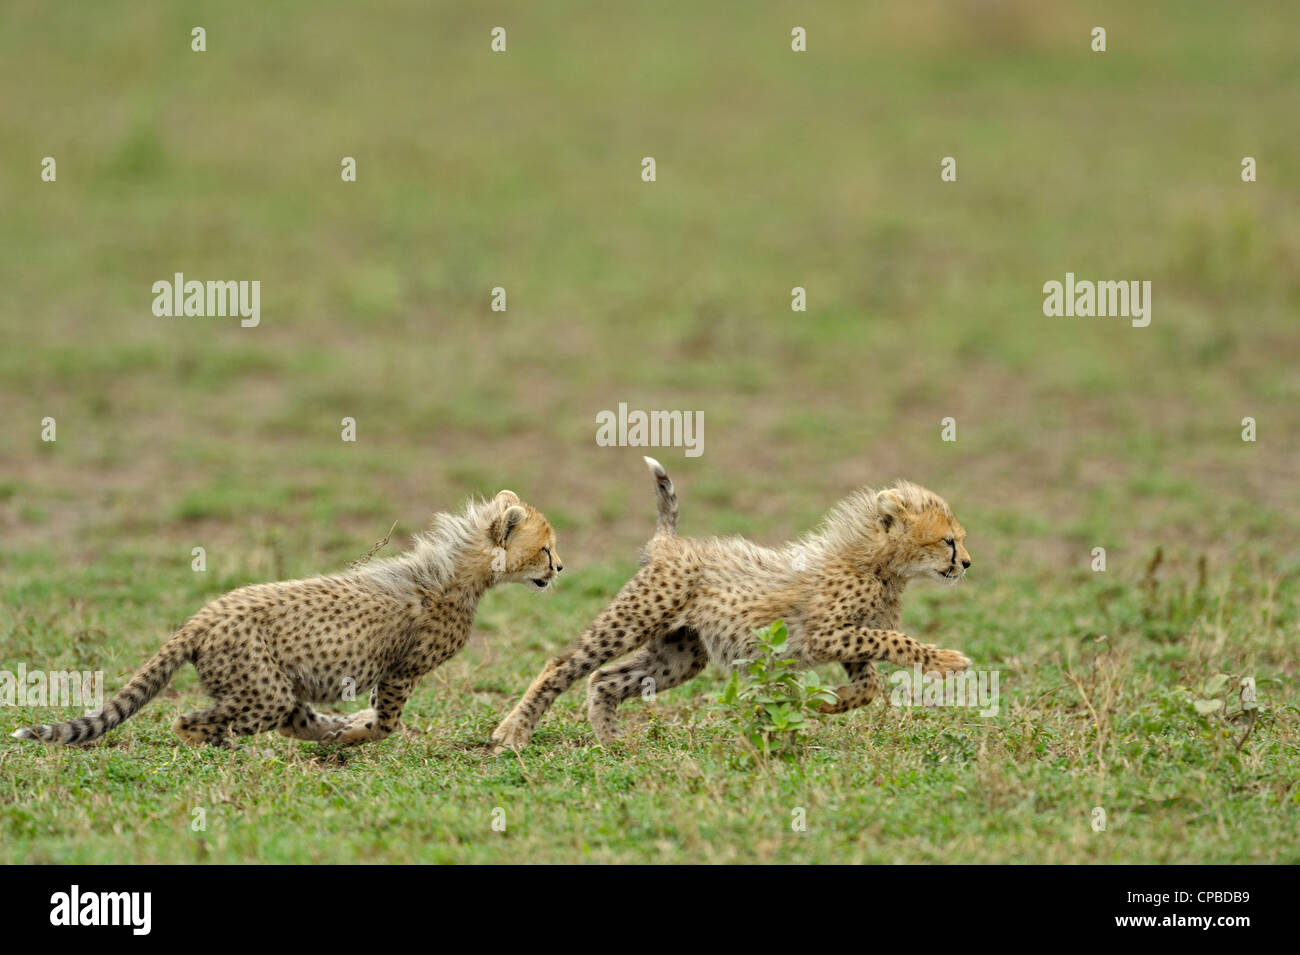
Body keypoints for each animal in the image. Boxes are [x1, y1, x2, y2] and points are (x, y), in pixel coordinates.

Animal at [12, 490, 562, 748]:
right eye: (545, 547)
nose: (560, 568)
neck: (460, 572)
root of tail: (203, 615)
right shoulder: (400, 672)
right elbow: (386, 723)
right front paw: (363, 732)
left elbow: (372, 719)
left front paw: (350, 730)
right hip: (262, 690)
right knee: (191, 721)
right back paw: (219, 747)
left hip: (276, 688)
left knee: (297, 721)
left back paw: (331, 731)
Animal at [492, 457, 971, 751]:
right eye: (948, 540)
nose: (966, 562)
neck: (877, 564)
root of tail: (670, 541)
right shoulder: (824, 634)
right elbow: (896, 643)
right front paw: (947, 660)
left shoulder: (847, 638)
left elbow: (869, 683)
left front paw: (825, 703)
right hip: (631, 621)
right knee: (563, 665)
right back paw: (513, 732)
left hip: (680, 656)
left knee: (605, 679)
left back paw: (612, 742)